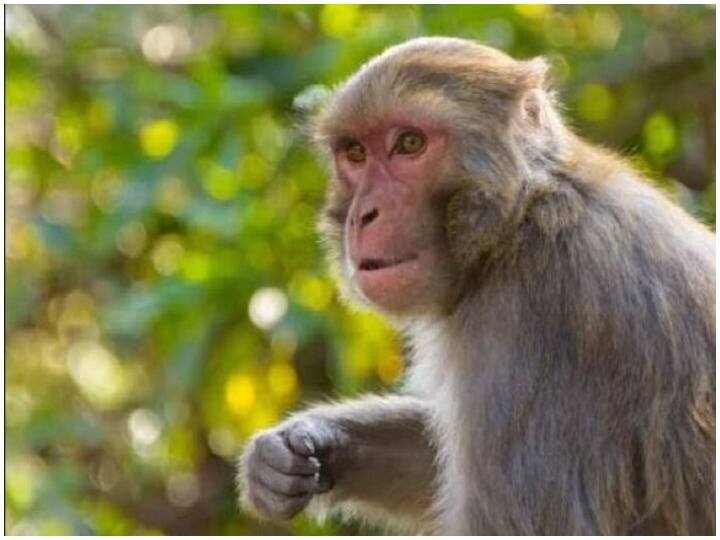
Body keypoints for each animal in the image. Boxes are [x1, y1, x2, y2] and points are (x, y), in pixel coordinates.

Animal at [237, 37, 715, 535]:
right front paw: (292, 450)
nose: (363, 214)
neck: (520, 225)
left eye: (409, 144)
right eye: (355, 153)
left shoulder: (541, 322)